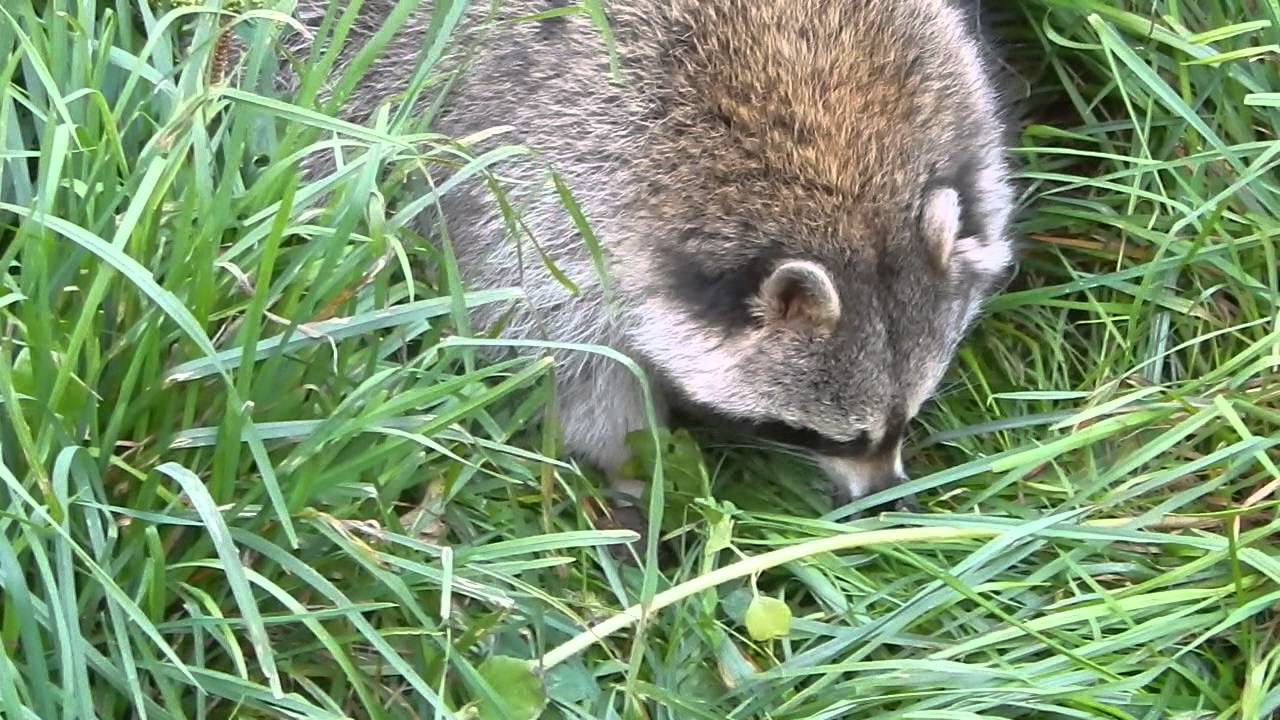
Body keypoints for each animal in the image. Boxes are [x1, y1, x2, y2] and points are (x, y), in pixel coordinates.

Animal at [277, 0, 1017, 521]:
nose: (887, 500)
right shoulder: (547, 195)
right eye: (823, 436)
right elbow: (570, 362)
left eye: (903, 421)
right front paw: (636, 468)